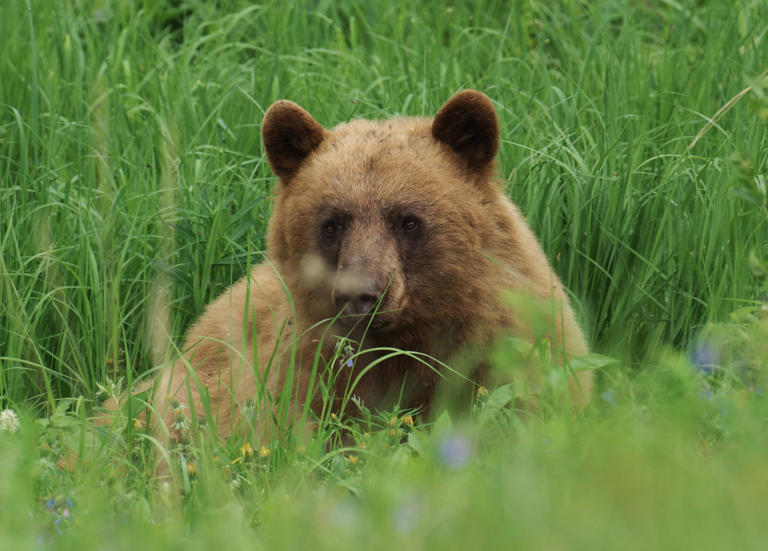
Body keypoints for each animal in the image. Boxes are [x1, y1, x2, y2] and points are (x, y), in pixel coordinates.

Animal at [150, 90, 593, 448]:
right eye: (332, 223)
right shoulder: (310, 374)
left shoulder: (509, 350)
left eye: (408, 220)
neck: (410, 337)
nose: (359, 295)